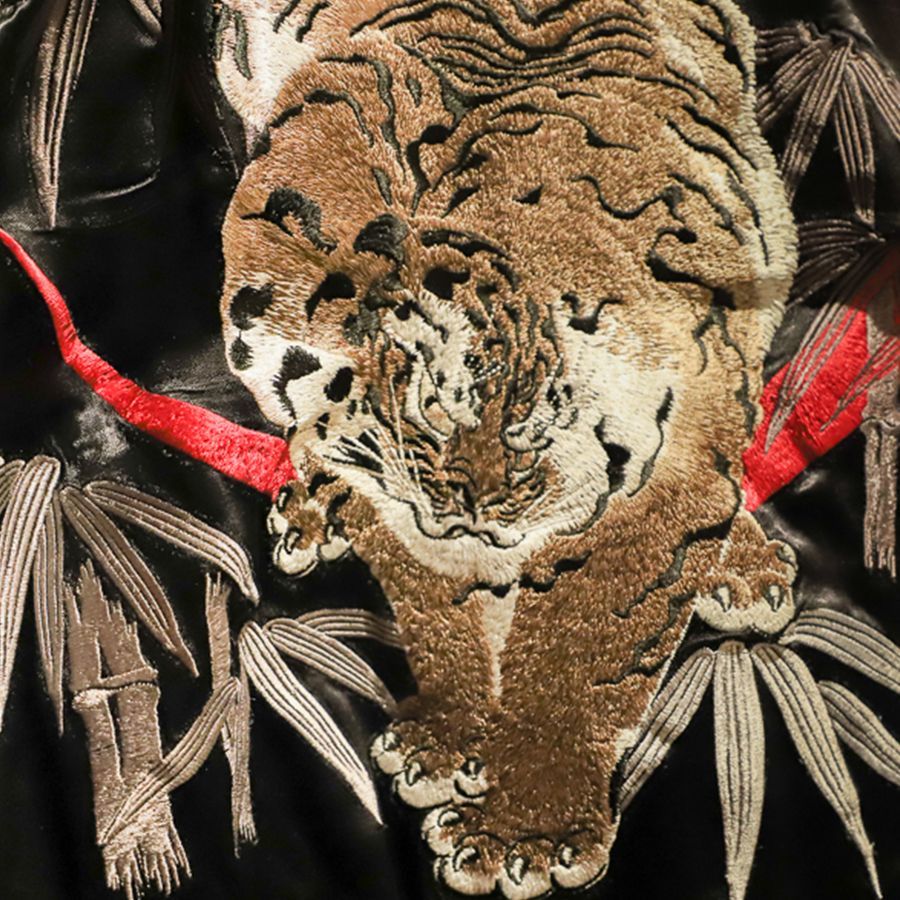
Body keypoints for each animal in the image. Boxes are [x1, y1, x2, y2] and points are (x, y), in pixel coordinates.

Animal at [216, 0, 798, 895]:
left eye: (538, 418)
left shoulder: (663, 481)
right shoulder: (387, 488)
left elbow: (580, 651)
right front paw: (447, 738)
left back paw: (747, 568)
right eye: (413, 407)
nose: (475, 510)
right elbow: (434, 611)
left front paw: (527, 829)